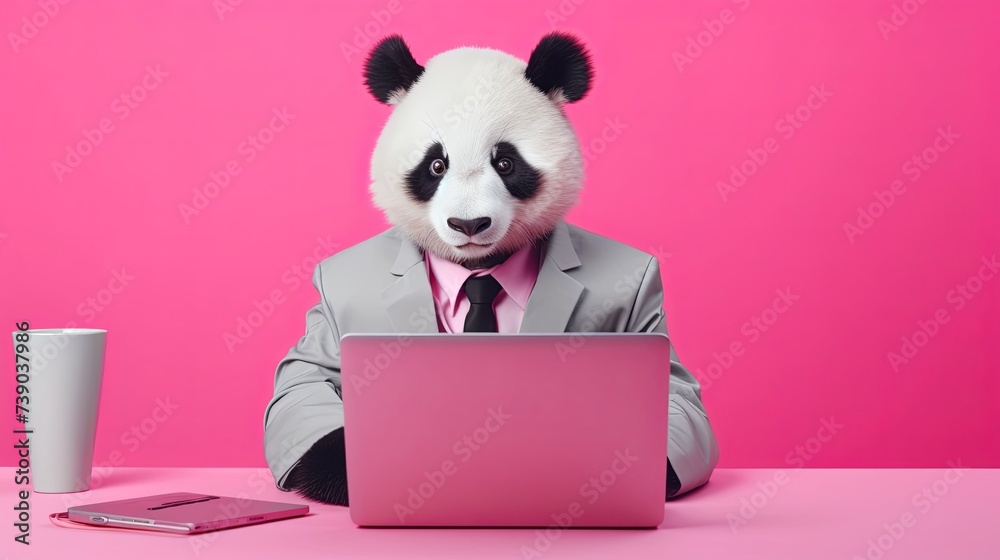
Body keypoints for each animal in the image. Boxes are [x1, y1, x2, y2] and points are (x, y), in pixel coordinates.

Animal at [263, 33, 719, 506]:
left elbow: (681, 396)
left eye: (505, 163)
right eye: (436, 164)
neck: (478, 266)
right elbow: (301, 381)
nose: (468, 224)